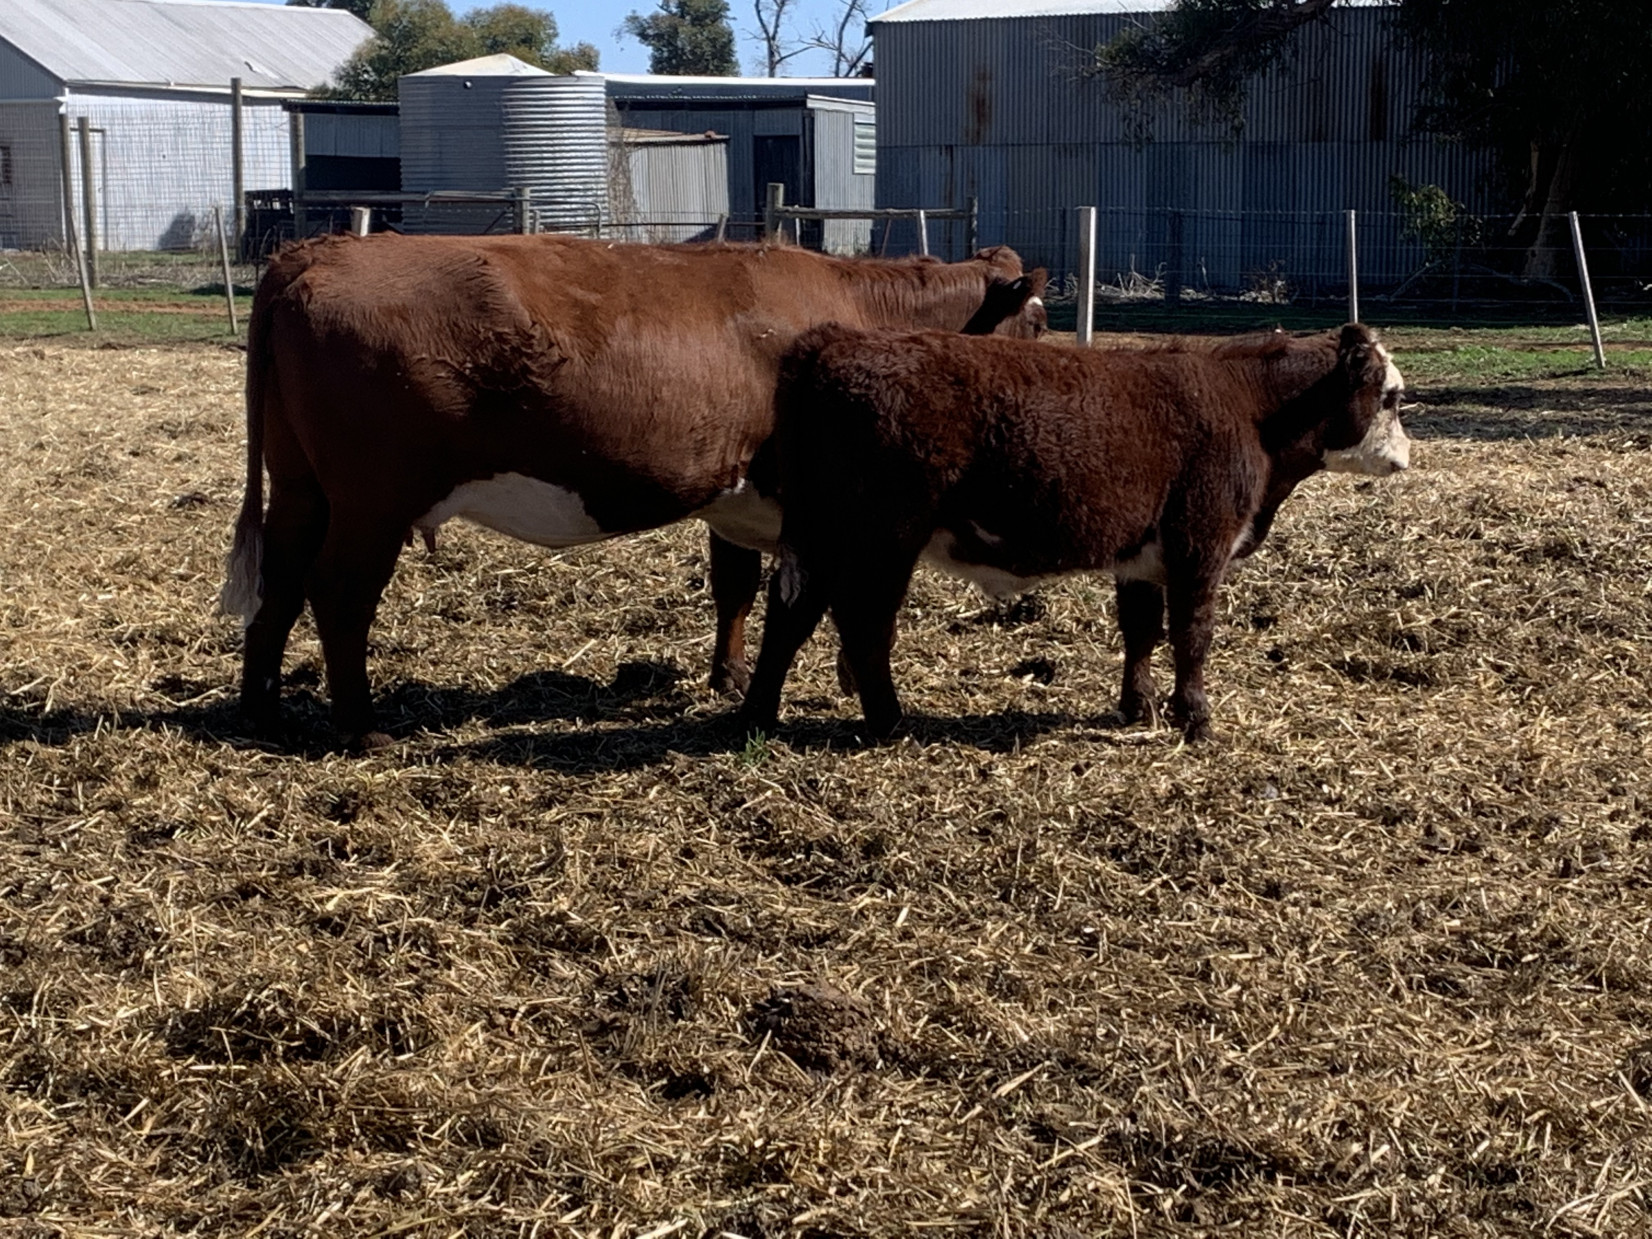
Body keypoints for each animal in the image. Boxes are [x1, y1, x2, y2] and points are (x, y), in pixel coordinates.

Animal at [218, 231, 1047, 748]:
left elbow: (736, 585)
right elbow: (812, 605)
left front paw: (729, 677)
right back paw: (360, 727)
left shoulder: (735, 491)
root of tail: (317, 251)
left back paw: (261, 710)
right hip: (372, 501)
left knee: (279, 584)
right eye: (1038, 325)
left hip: (302, 488)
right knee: (338, 593)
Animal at [739, 323, 1410, 743]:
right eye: (1392, 397)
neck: (1244, 405)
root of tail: (835, 341)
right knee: (864, 622)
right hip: (881, 539)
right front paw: (1196, 718)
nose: (1405, 457)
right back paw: (888, 721)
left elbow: (1142, 630)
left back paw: (758, 716)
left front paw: (1137, 706)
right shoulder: (1201, 544)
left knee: (790, 614)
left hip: (822, 537)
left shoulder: (1142, 557)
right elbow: (1193, 634)